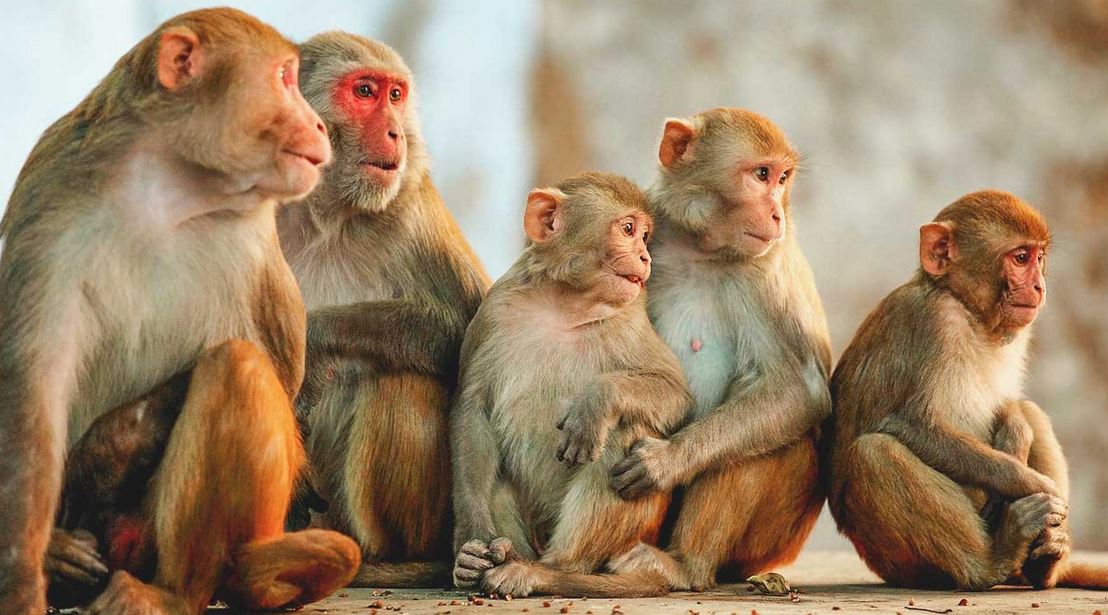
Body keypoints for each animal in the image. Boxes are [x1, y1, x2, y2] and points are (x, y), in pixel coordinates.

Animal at [0, 9, 363, 614]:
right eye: (285, 78)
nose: (318, 125)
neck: (170, 186)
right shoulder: (49, 199)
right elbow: (33, 392)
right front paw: (29, 573)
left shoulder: (253, 239)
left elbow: (277, 367)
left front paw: (105, 451)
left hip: (160, 537)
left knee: (235, 367)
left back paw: (172, 592)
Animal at [275, 31, 489, 588]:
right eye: (365, 91)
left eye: (395, 95)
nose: (395, 132)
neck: (324, 212)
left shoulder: (411, 207)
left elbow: (469, 332)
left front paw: (314, 341)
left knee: (399, 380)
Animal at [450, 172, 693, 599]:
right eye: (628, 230)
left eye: (645, 236)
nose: (645, 258)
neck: (564, 306)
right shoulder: (494, 310)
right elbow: (473, 409)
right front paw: (471, 545)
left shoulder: (631, 318)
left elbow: (675, 393)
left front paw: (596, 402)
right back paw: (503, 559)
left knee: (625, 430)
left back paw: (546, 571)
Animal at [608, 108, 831, 590]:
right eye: (761, 174)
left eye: (783, 178)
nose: (777, 214)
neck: (701, 248)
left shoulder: (765, 271)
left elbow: (798, 390)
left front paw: (666, 461)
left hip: (771, 543)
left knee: (763, 434)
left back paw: (684, 564)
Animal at [824, 190, 1108, 591]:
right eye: (1020, 258)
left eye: (1039, 257)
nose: (1039, 287)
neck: (969, 312)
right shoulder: (936, 321)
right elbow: (914, 425)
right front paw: (1029, 482)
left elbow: (1011, 405)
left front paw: (1015, 433)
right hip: (899, 563)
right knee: (874, 452)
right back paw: (994, 559)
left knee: (1034, 412)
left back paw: (1046, 561)